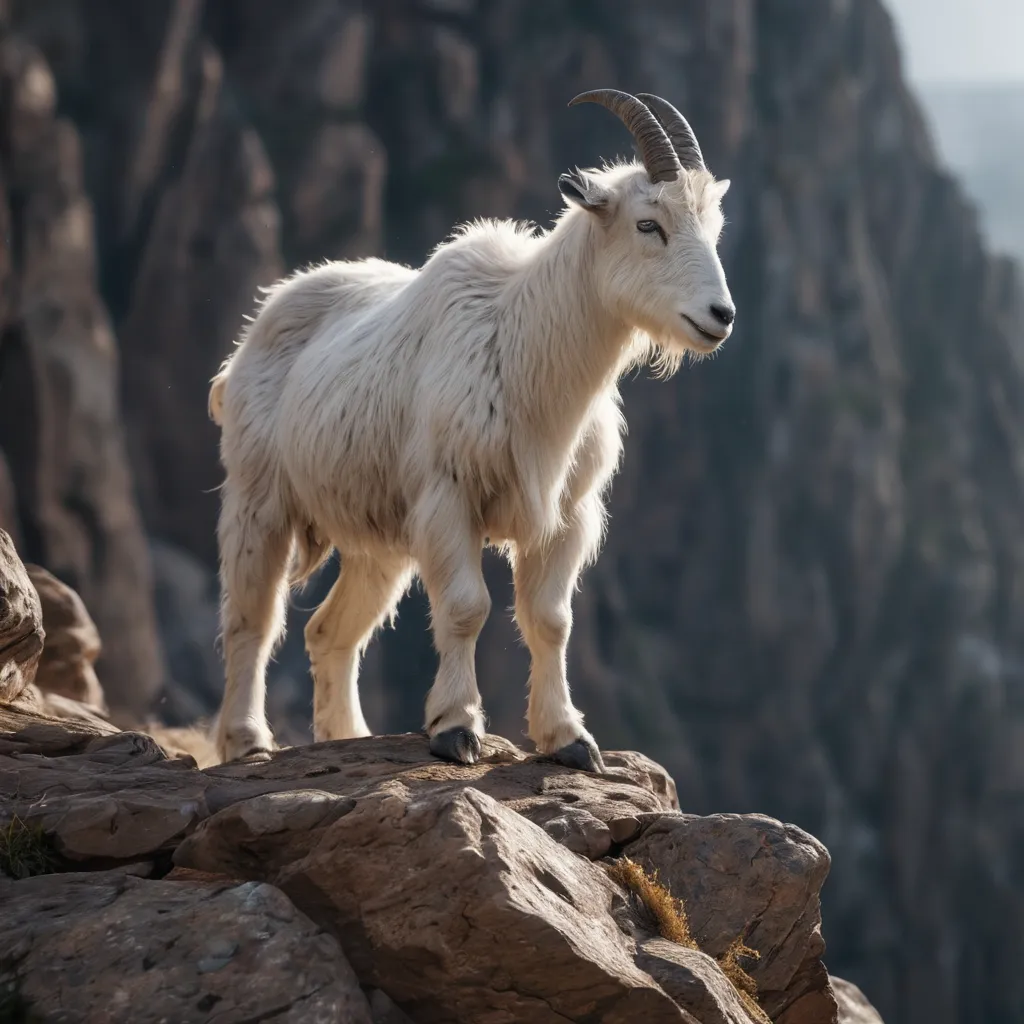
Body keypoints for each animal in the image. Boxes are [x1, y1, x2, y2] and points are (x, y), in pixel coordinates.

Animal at [210, 89, 736, 772]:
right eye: (649, 225)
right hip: (259, 497)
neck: (523, 346)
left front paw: (569, 738)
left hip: (377, 536)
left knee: (329, 630)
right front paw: (455, 728)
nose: (721, 315)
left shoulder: (568, 514)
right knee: (252, 617)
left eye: (713, 227)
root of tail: (251, 336)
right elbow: (466, 608)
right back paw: (245, 740)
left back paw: (346, 735)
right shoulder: (448, 495)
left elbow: (550, 619)